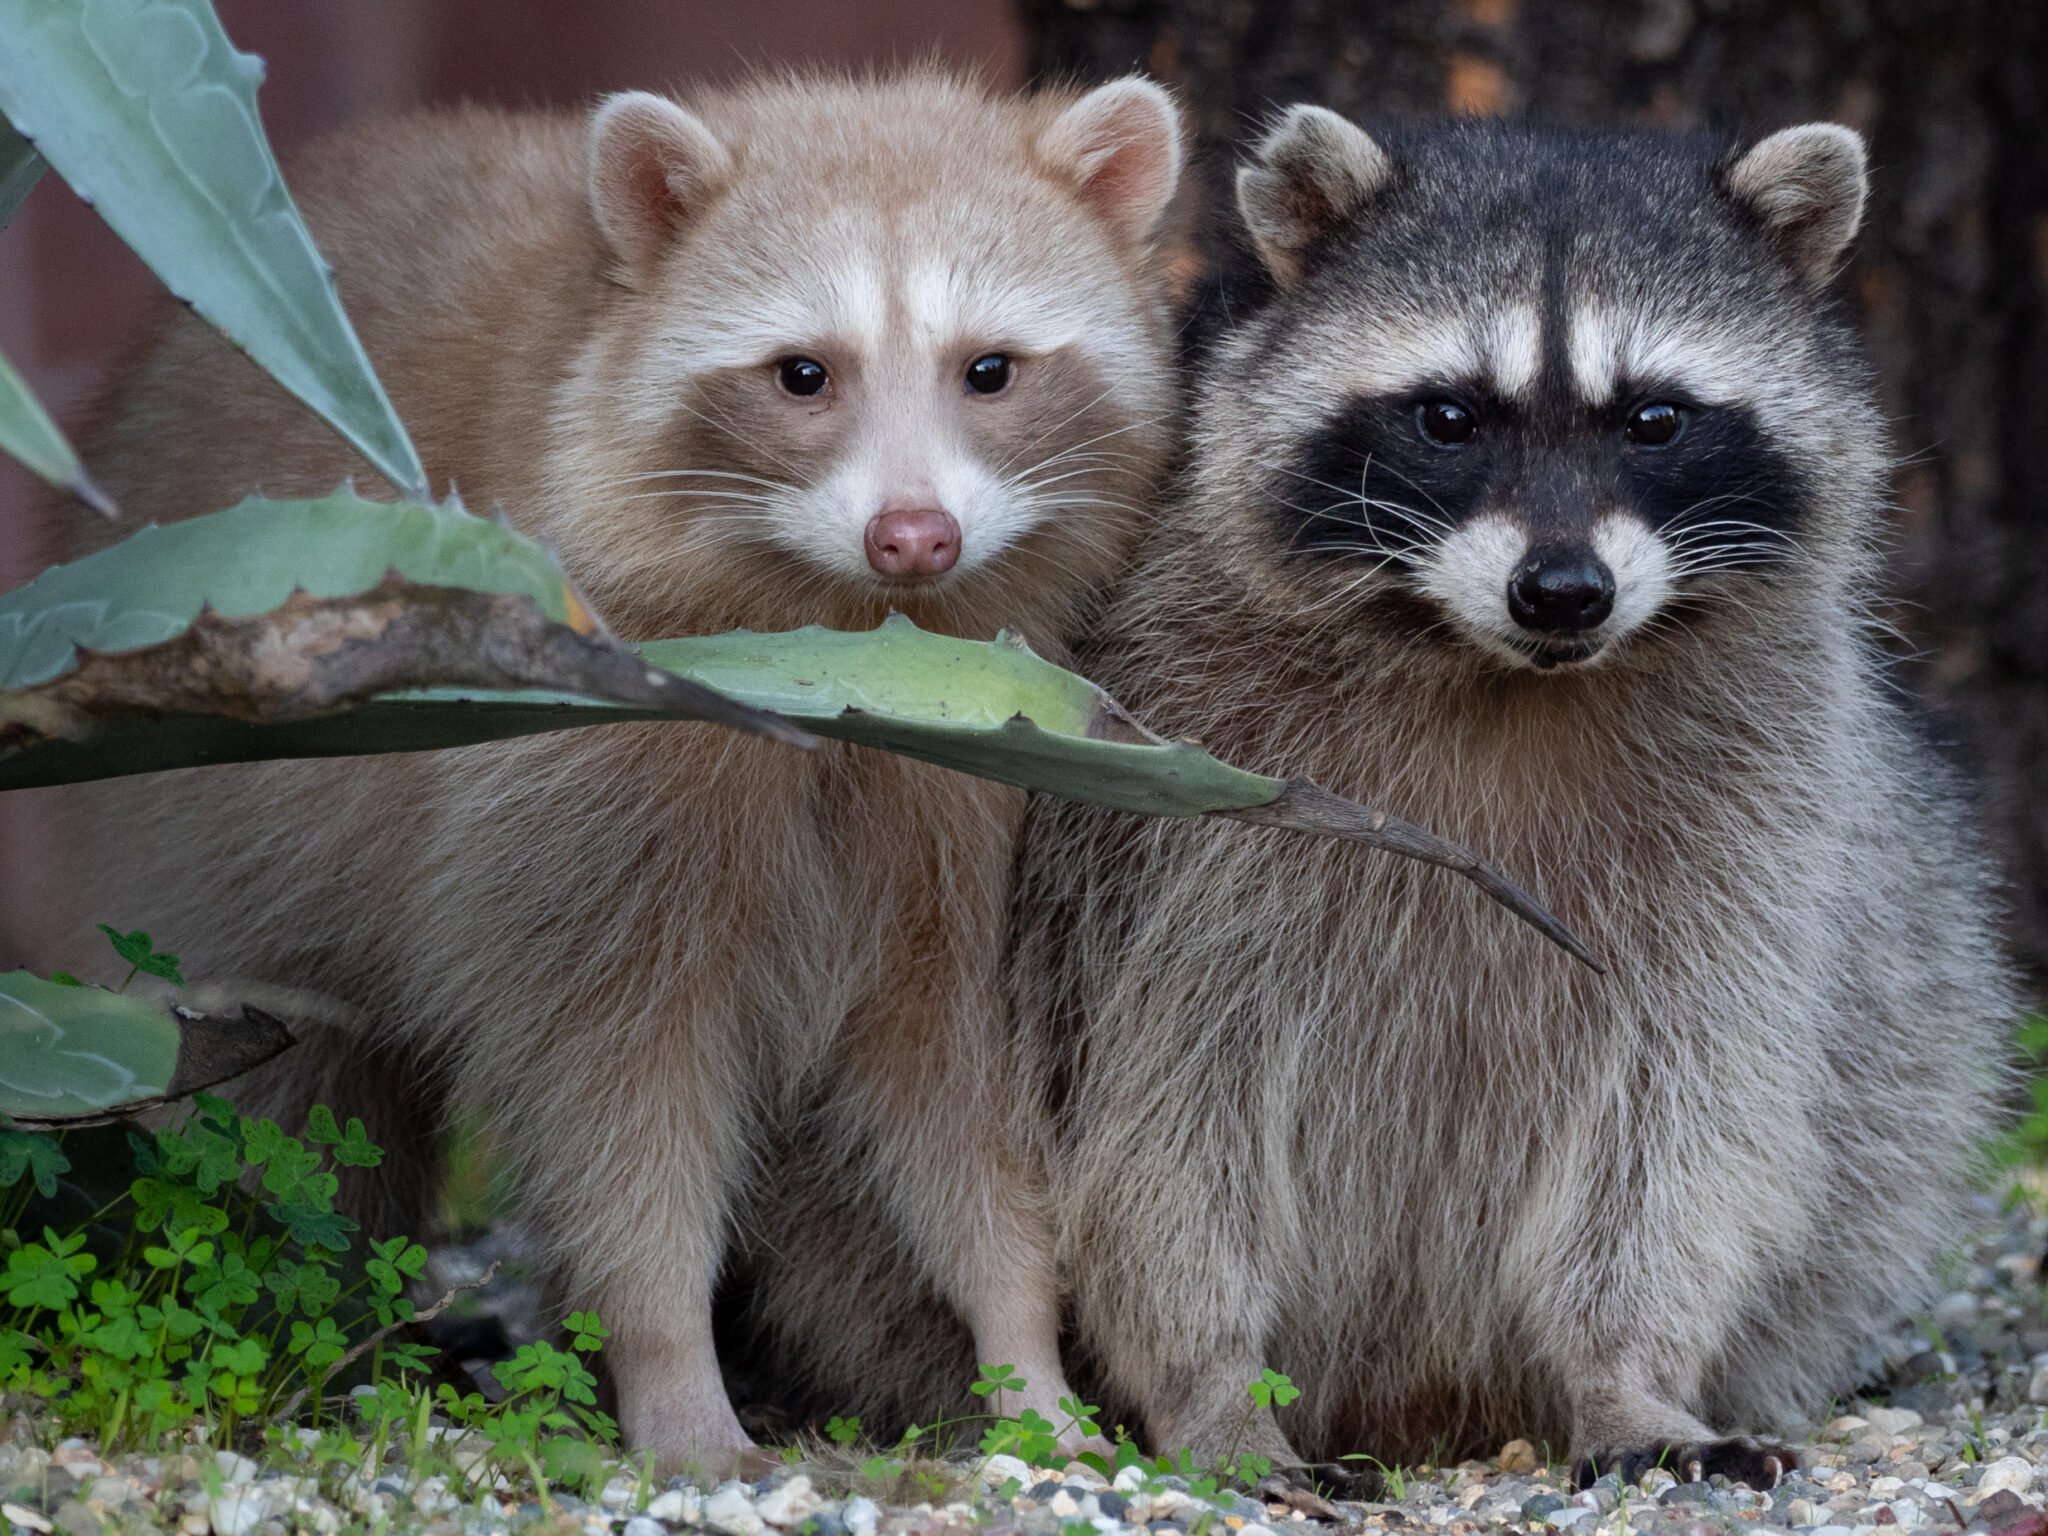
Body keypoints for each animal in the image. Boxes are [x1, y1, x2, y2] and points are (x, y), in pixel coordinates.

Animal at [58, 71, 1185, 1467]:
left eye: (990, 369)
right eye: (801, 374)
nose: (913, 536)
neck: (851, 648)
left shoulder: (984, 793)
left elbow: (964, 1086)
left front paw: (1024, 1356)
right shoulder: (572, 765)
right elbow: (617, 1090)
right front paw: (672, 1370)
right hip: (207, 814)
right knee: (285, 1103)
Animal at [1009, 110, 2018, 1487]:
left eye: (1652, 418)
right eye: (1447, 417)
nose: (1561, 591)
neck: (1499, 669)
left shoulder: (1766, 814)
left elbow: (1684, 1108)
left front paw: (1627, 1374)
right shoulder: (1148, 817)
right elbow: (1159, 1112)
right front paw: (1208, 1382)